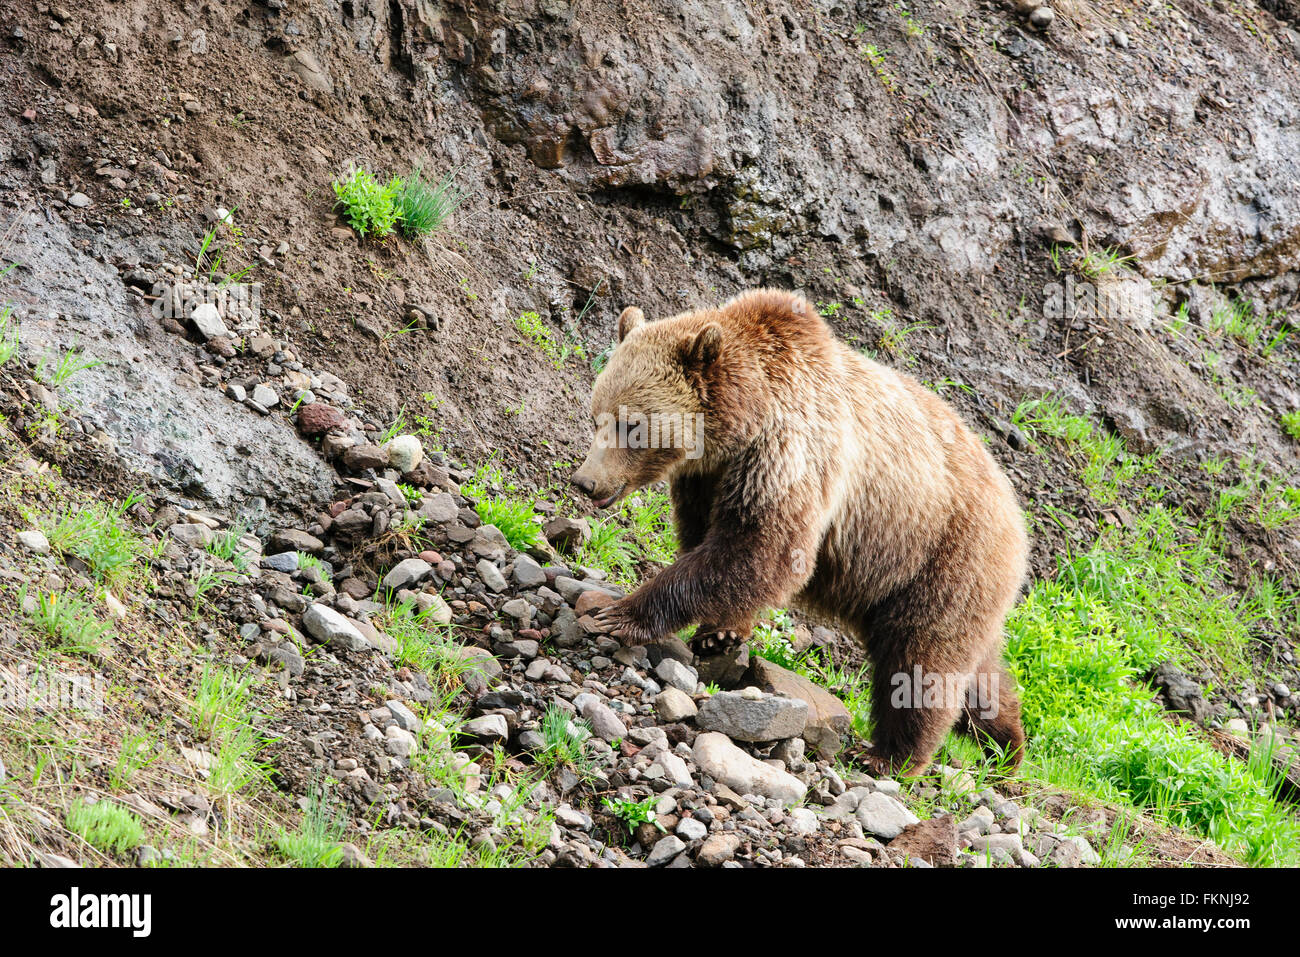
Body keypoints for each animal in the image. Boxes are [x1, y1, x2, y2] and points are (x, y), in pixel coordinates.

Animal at [570, 288, 1029, 776]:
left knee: (921, 657)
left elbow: (762, 549)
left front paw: (619, 614)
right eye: (597, 416)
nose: (586, 481)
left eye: (632, 424)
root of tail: (1016, 513)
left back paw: (891, 756)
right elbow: (709, 541)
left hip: (941, 552)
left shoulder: (788, 452)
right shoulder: (708, 479)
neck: (740, 424)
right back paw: (1005, 743)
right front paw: (720, 633)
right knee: (977, 669)